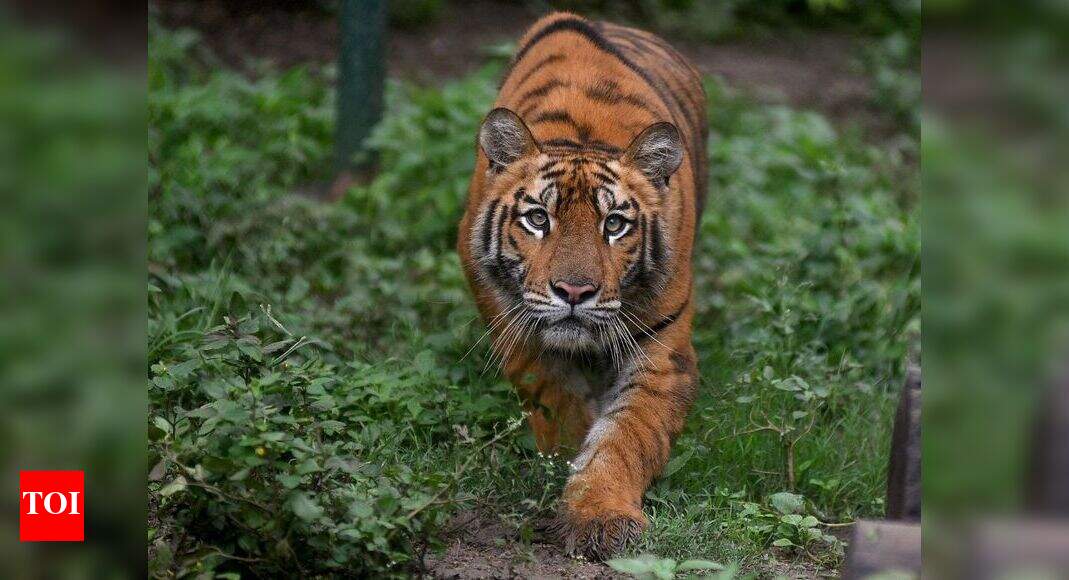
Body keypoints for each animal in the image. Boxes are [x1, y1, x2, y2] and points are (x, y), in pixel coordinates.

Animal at [457, 12, 708, 560]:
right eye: (537, 219)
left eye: (614, 224)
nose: (573, 293)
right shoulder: (515, 327)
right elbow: (558, 401)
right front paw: (566, 459)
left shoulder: (662, 347)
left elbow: (627, 435)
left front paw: (599, 515)